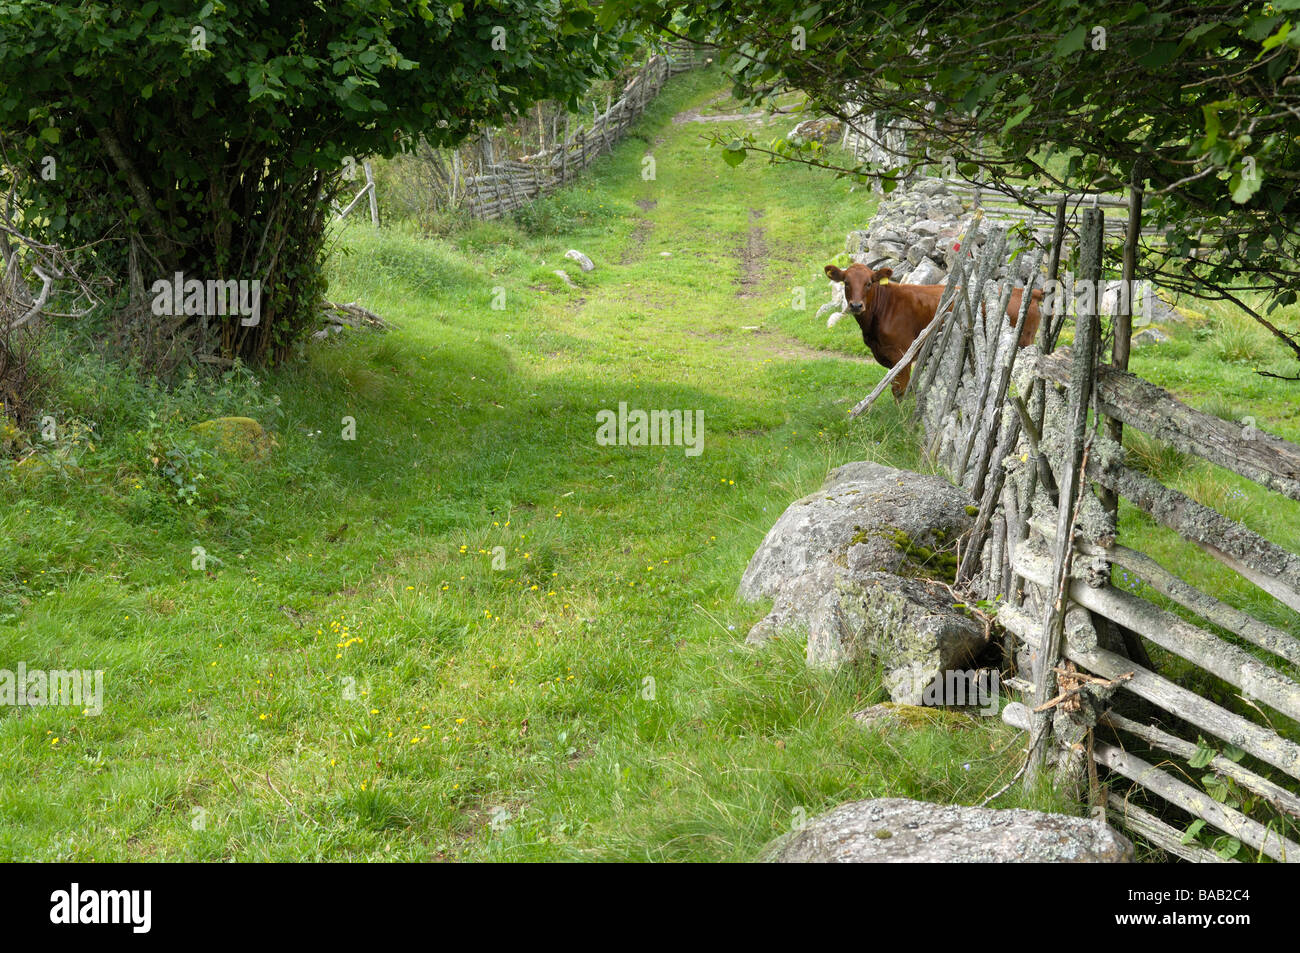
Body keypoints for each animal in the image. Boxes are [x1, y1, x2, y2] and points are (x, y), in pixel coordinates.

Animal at [824, 262, 1043, 399]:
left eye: (869, 283)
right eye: (846, 283)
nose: (856, 305)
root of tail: (1027, 292)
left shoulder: (900, 355)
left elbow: (899, 390)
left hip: (1023, 344)